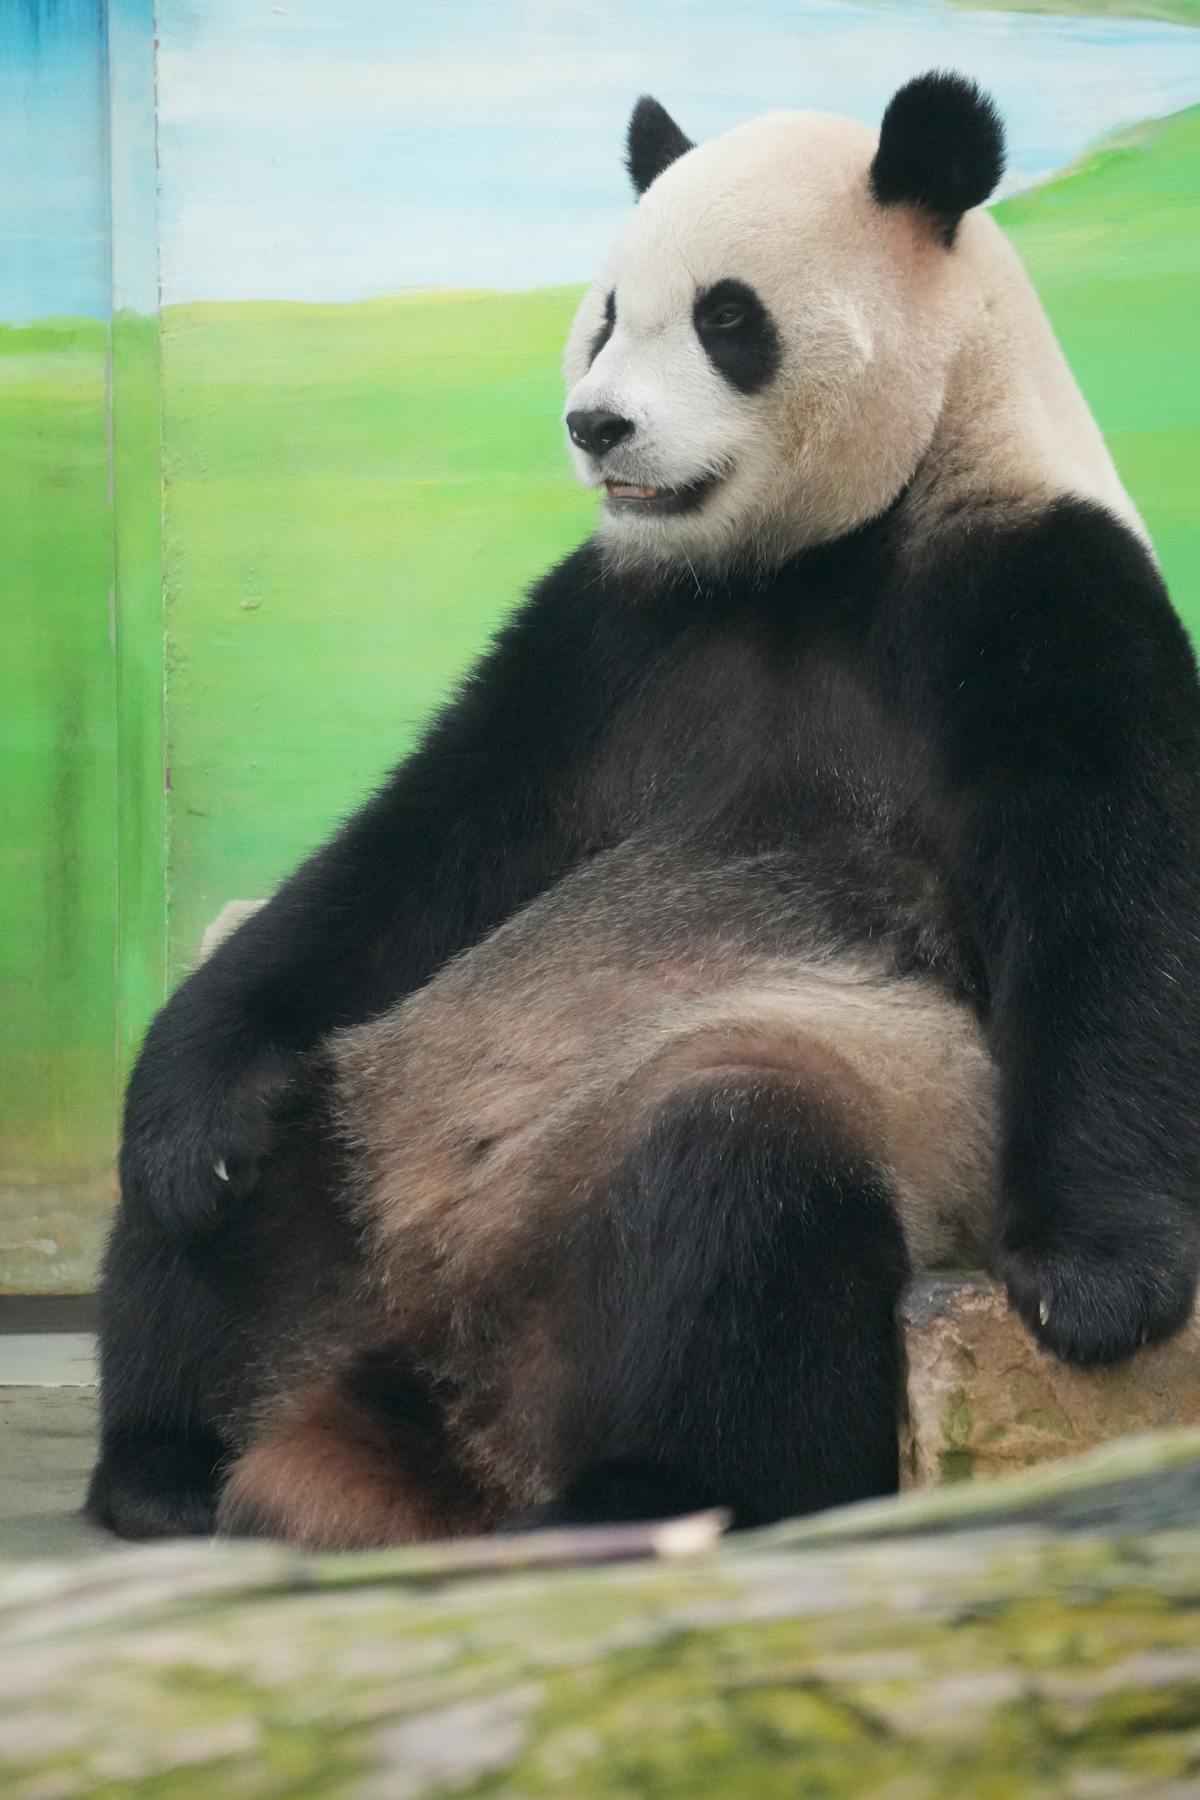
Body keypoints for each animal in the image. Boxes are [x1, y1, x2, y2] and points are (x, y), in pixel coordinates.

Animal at [88, 72, 1200, 1547]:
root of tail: (453, 1398)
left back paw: (639, 1491)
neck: (807, 563)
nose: (596, 425)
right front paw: (184, 1121)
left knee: (739, 1213)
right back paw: (170, 1459)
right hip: (369, 1106)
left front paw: (1099, 1280)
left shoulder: (1035, 591)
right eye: (608, 312)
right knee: (238, 1215)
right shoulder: (610, 635)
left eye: (729, 318)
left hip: (845, 1107)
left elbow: (1112, 906)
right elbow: (427, 848)